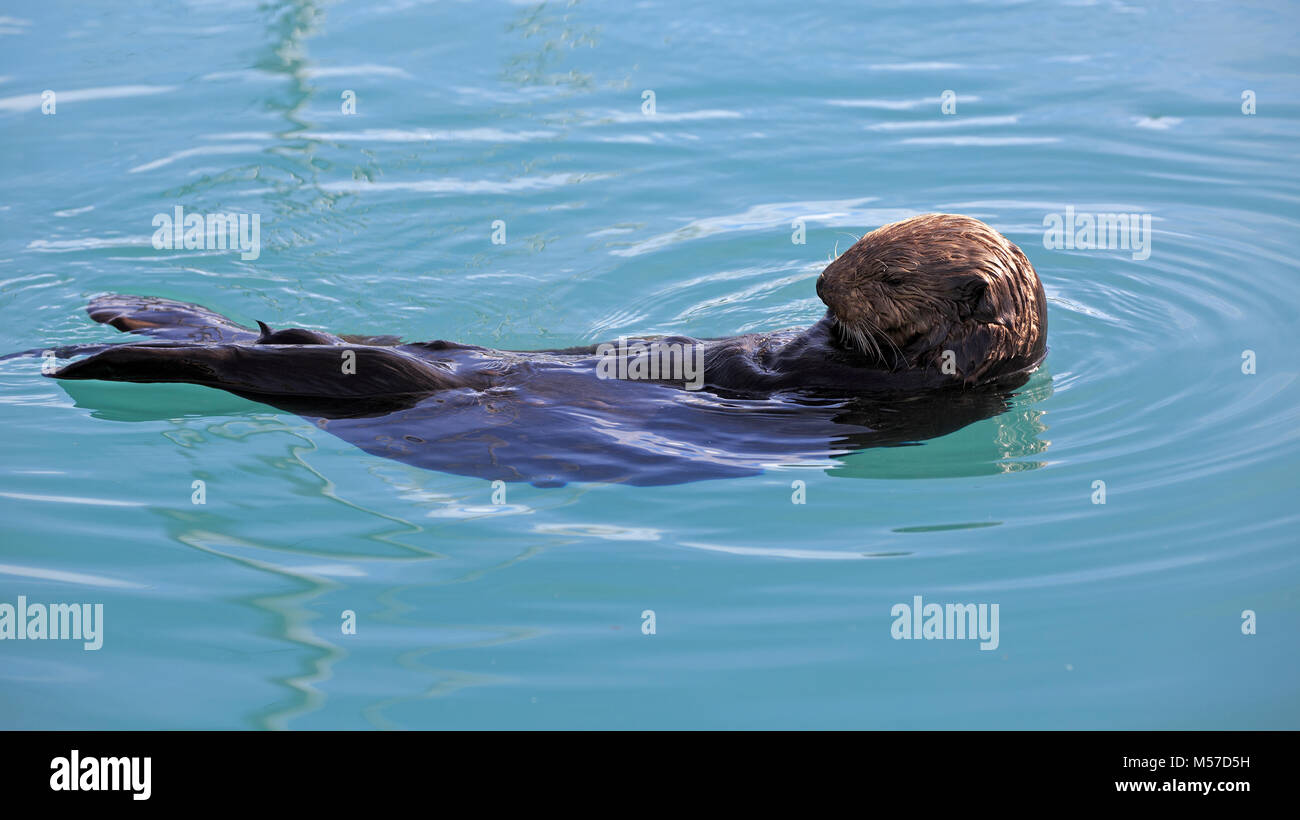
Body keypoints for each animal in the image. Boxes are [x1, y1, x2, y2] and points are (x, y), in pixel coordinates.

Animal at [30, 213, 1047, 486]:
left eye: (893, 275)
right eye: (865, 246)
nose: (825, 285)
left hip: (386, 384)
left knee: (261, 363)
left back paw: (103, 351)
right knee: (279, 340)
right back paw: (130, 309)